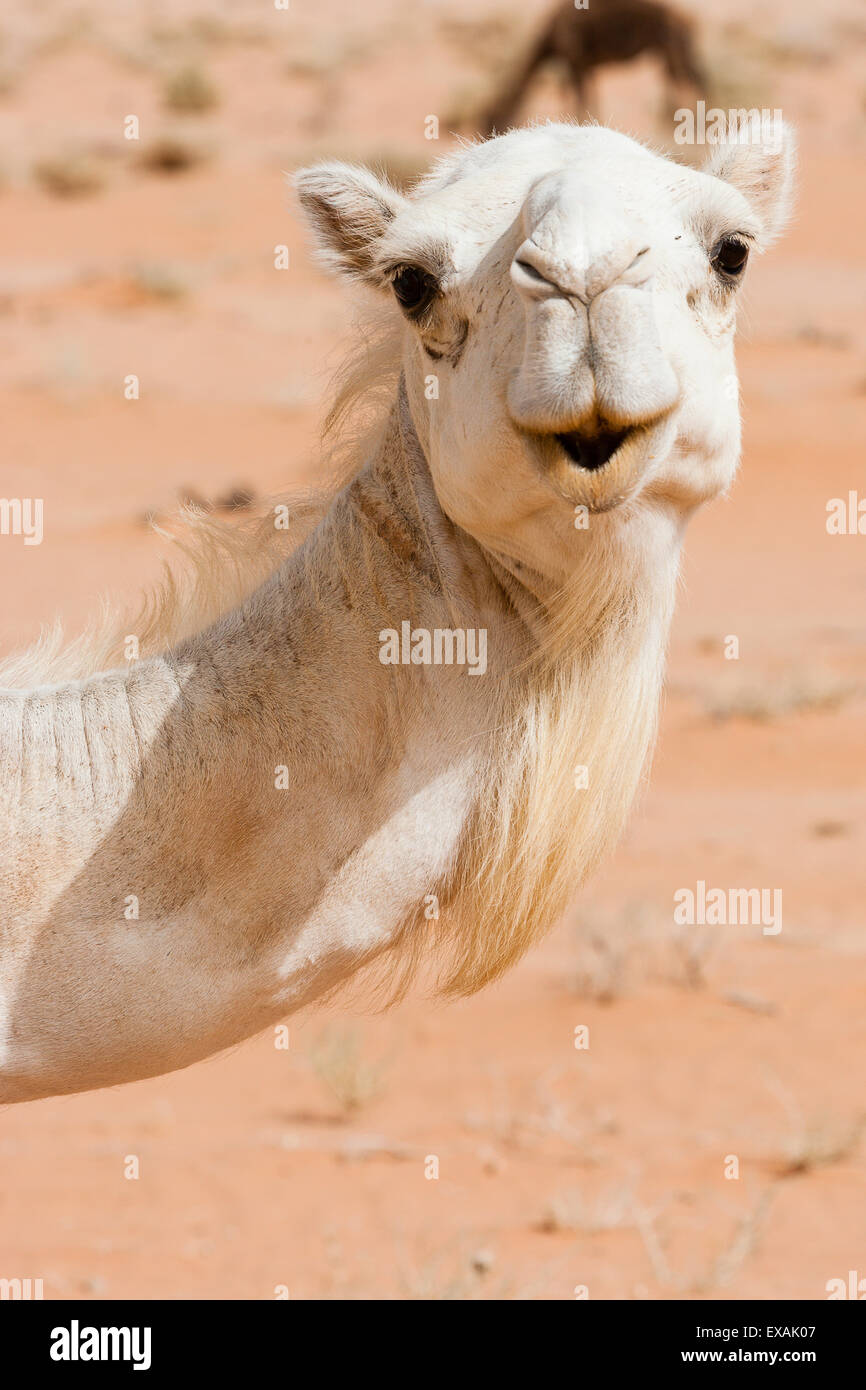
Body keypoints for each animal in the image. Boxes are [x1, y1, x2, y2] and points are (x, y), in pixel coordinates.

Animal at [480, 0, 706, 135]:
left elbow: (578, 100)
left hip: (676, 51)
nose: (487, 134)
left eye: (492, 117)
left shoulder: (575, 61)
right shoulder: (584, 66)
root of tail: (690, 21)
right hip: (667, 54)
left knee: (694, 81)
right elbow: (587, 99)